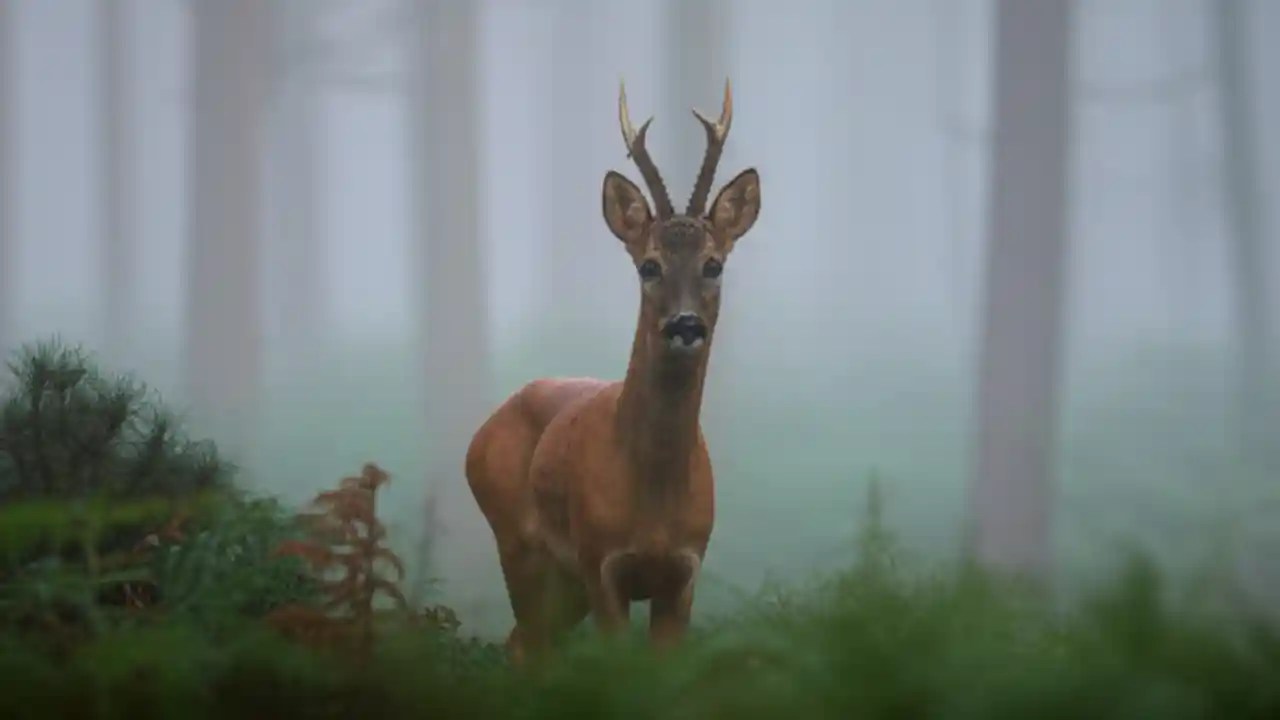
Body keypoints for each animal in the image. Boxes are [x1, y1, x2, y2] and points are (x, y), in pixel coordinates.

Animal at [464, 78, 760, 665]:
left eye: (714, 263)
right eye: (649, 265)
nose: (685, 324)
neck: (653, 502)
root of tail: (479, 435)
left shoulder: (686, 571)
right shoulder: (600, 563)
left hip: (563, 584)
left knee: (523, 642)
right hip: (517, 542)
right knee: (526, 645)